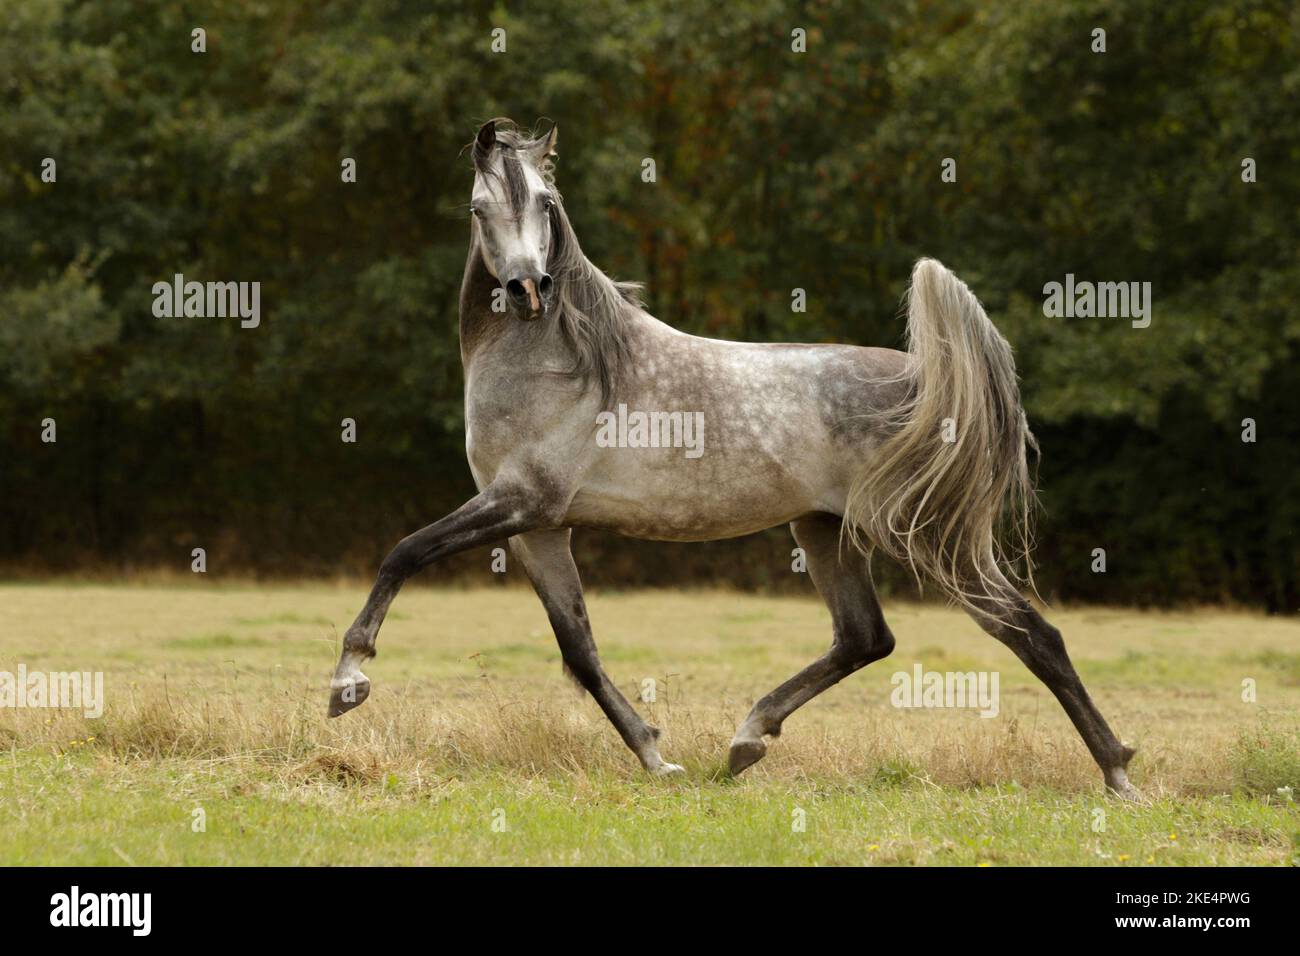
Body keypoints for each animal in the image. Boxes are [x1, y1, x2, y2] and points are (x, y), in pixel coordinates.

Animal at [328, 118, 1139, 799]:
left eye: (546, 204)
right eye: (479, 209)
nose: (530, 287)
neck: (556, 359)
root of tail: (927, 384)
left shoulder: (518, 503)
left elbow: (404, 552)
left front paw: (348, 681)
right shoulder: (540, 528)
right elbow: (580, 648)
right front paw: (656, 756)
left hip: (929, 537)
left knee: (1031, 633)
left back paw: (1118, 771)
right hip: (822, 530)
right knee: (866, 638)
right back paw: (746, 741)